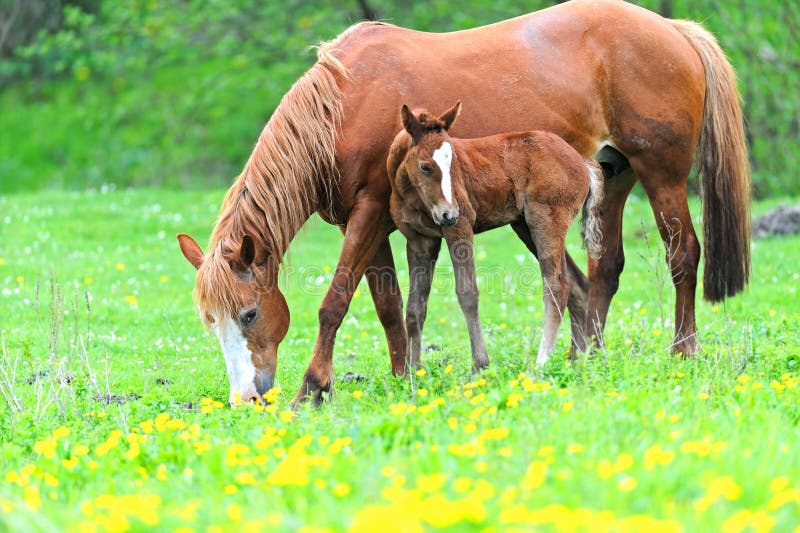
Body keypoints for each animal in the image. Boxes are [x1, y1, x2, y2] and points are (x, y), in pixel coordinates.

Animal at [388, 102, 604, 369]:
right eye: (425, 166)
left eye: (454, 163)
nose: (450, 213)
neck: (410, 195)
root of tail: (581, 160)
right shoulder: (420, 241)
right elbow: (415, 308)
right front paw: (413, 373)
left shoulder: (460, 229)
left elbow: (468, 294)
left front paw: (480, 365)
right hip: (525, 227)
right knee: (578, 285)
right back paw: (579, 362)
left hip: (545, 221)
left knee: (557, 285)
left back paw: (542, 362)